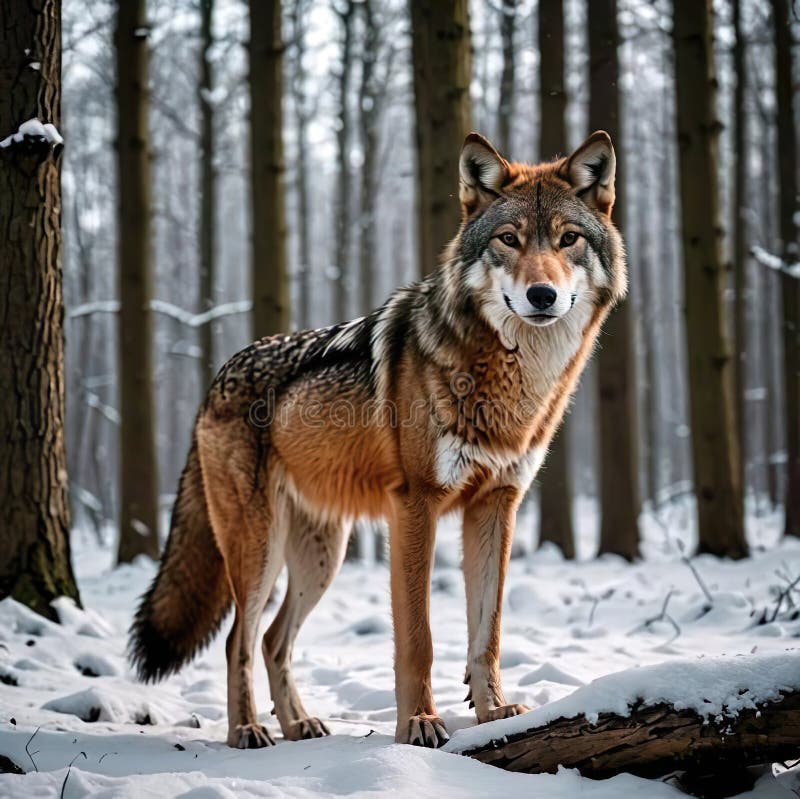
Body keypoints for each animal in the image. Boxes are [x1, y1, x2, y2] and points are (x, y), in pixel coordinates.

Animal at [129, 130, 626, 749]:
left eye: (568, 239)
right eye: (509, 240)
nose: (541, 295)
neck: (511, 381)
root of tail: (216, 378)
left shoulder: (496, 506)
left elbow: (487, 632)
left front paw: (494, 714)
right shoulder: (414, 505)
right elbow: (419, 637)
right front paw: (420, 724)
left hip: (323, 557)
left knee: (271, 639)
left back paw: (300, 725)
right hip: (258, 551)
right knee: (236, 641)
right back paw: (247, 729)